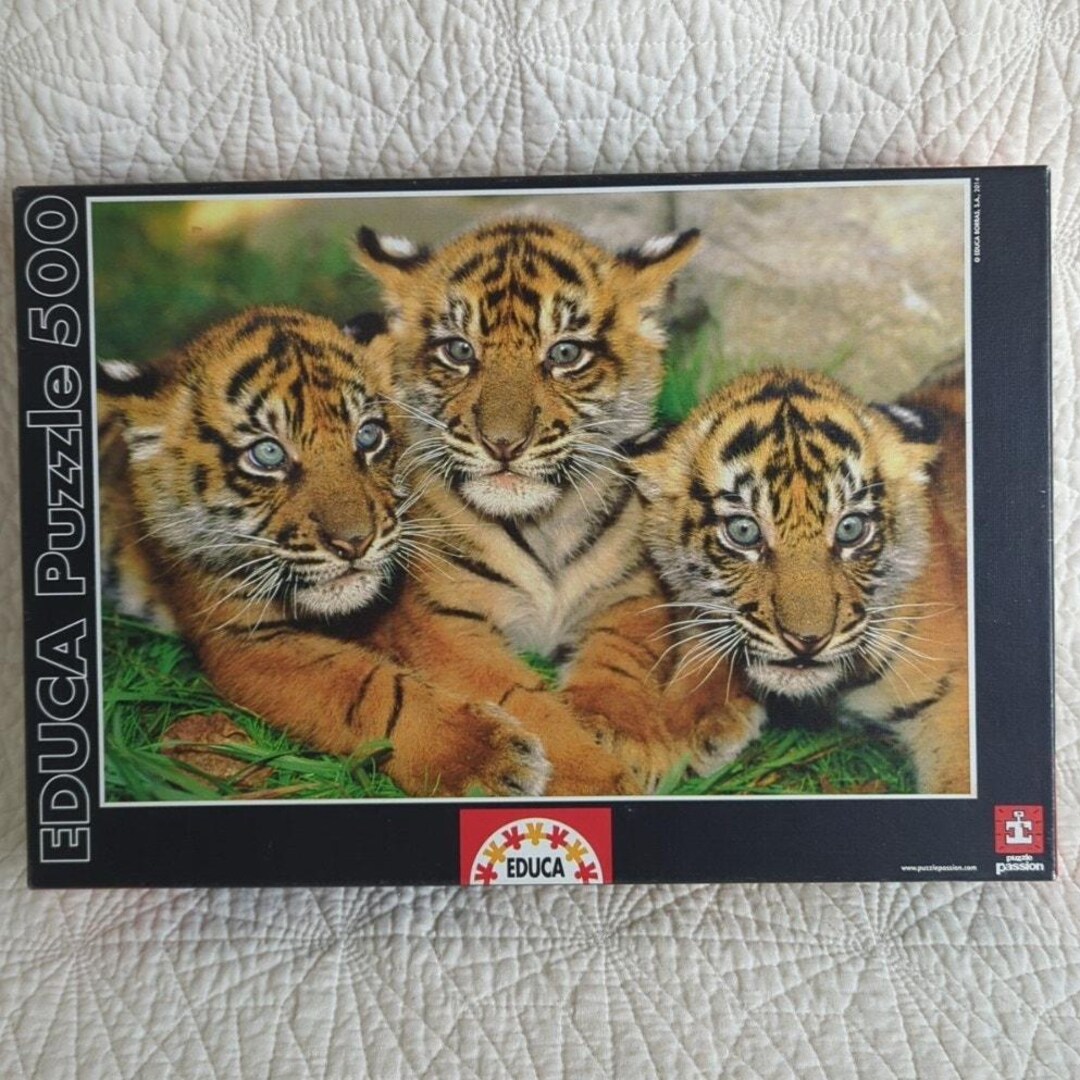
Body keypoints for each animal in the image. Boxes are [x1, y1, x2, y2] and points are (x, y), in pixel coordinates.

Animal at [97, 306, 559, 797]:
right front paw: (486, 758)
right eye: (267, 454)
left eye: (369, 436)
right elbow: (368, 689)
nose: (354, 542)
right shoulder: (242, 639)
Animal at [352, 218, 762, 787]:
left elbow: (620, 658)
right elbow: (519, 696)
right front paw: (593, 774)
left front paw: (629, 733)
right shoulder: (441, 620)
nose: (502, 443)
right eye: (459, 351)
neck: (543, 522)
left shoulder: (631, 594)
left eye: (565, 354)